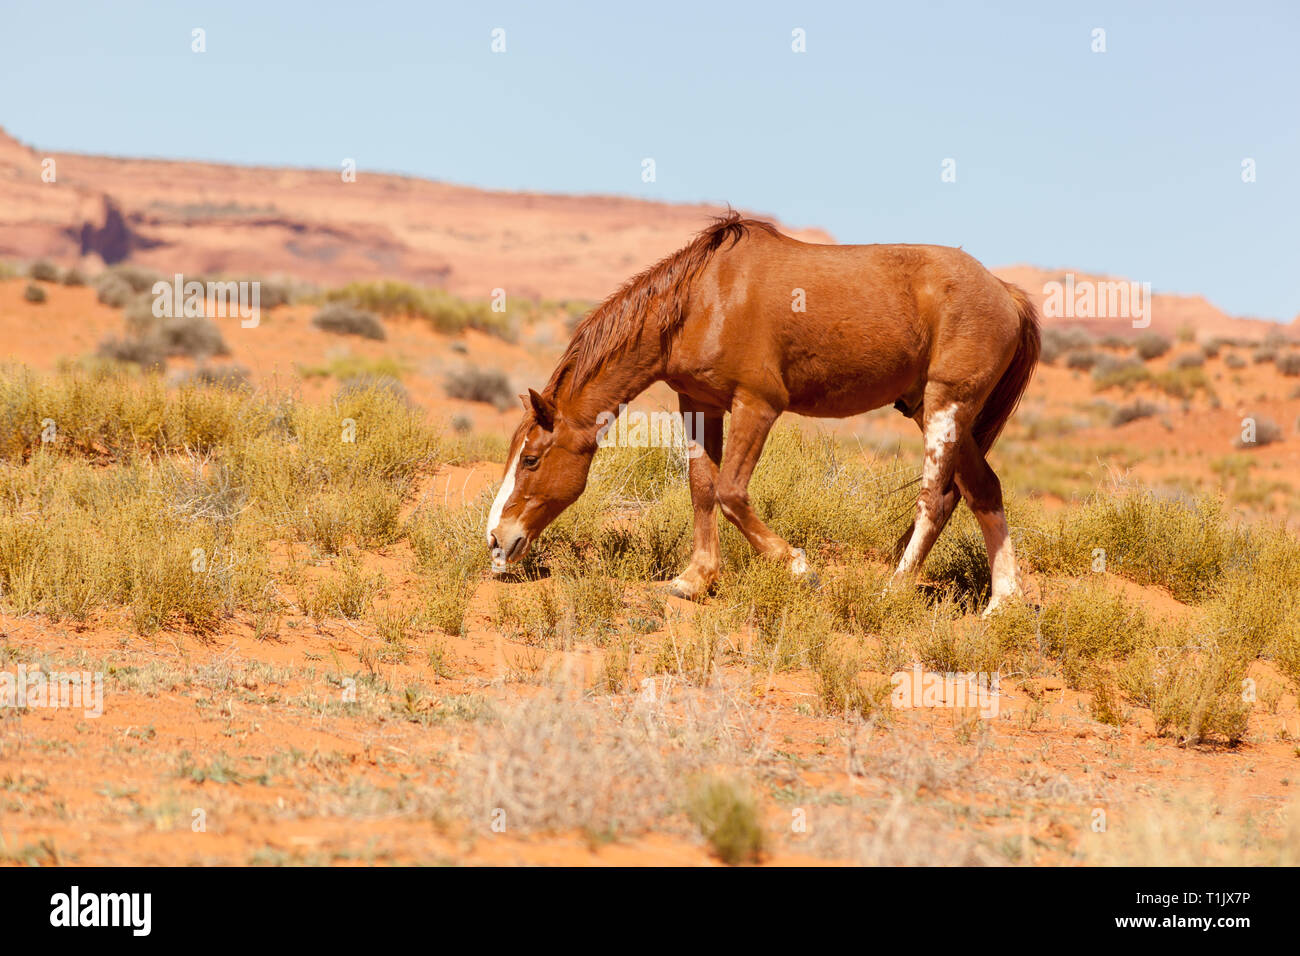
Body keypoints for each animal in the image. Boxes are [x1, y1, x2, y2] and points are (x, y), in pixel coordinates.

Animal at [486, 212, 1040, 615]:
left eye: (531, 460)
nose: (496, 541)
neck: (704, 300)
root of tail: (1005, 292)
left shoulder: (757, 404)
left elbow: (731, 492)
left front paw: (797, 567)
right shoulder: (700, 403)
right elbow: (703, 488)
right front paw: (693, 580)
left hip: (948, 405)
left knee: (933, 497)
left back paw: (894, 589)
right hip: (933, 409)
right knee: (981, 490)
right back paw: (1003, 603)